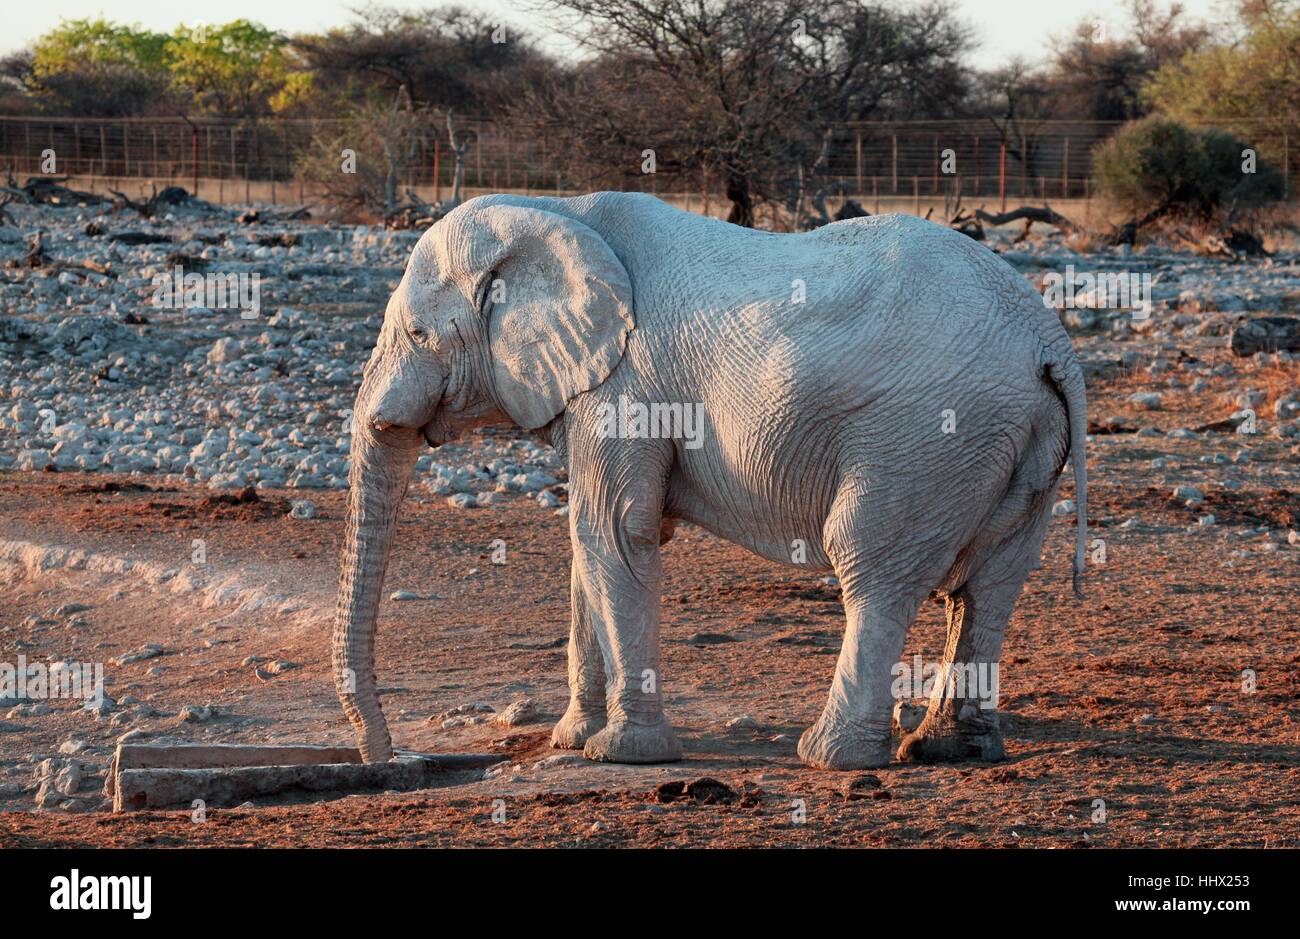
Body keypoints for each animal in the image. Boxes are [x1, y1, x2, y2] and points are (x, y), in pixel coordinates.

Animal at [333, 190, 1088, 771]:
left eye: (420, 334)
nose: (388, 758)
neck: (557, 210)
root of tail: (1050, 346)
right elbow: (588, 543)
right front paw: (572, 740)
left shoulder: (626, 387)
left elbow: (616, 533)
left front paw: (622, 754)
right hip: (1013, 444)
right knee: (989, 585)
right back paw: (949, 750)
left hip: (925, 436)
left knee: (875, 569)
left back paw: (830, 757)